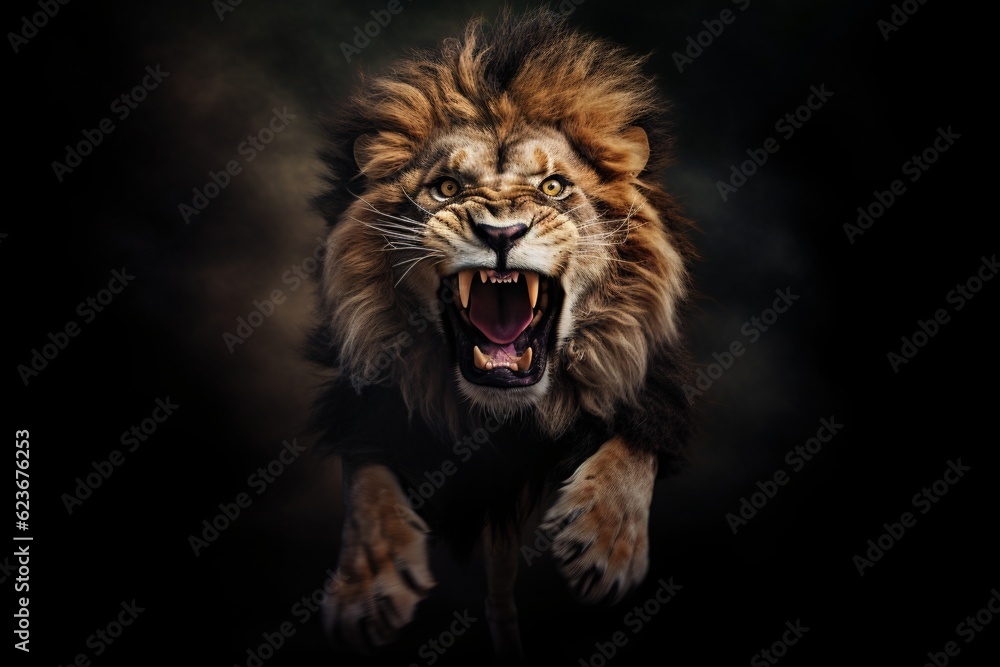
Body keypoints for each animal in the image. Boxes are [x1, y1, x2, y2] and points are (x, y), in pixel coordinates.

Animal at [310, 8, 696, 661]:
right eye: (445, 187)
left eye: (552, 187)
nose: (501, 232)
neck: (502, 416)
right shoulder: (373, 404)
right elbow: (367, 481)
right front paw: (371, 578)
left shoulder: (648, 387)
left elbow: (633, 445)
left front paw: (605, 540)